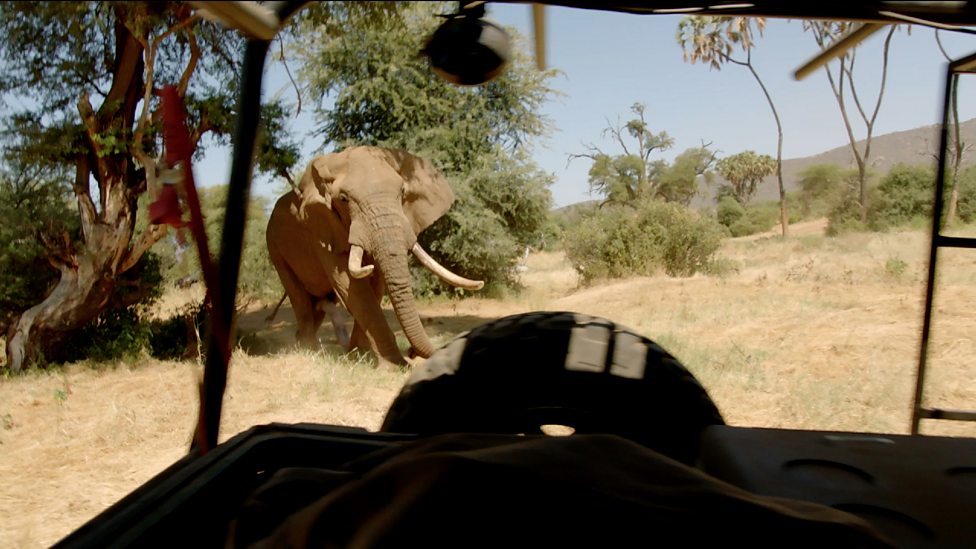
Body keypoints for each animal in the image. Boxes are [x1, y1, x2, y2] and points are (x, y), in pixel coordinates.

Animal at [266, 146, 483, 367]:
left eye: (402, 192)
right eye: (343, 199)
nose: (412, 351)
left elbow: (376, 284)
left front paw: (360, 355)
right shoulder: (320, 231)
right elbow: (351, 286)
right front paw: (393, 365)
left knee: (318, 304)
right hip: (274, 247)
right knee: (299, 297)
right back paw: (309, 351)